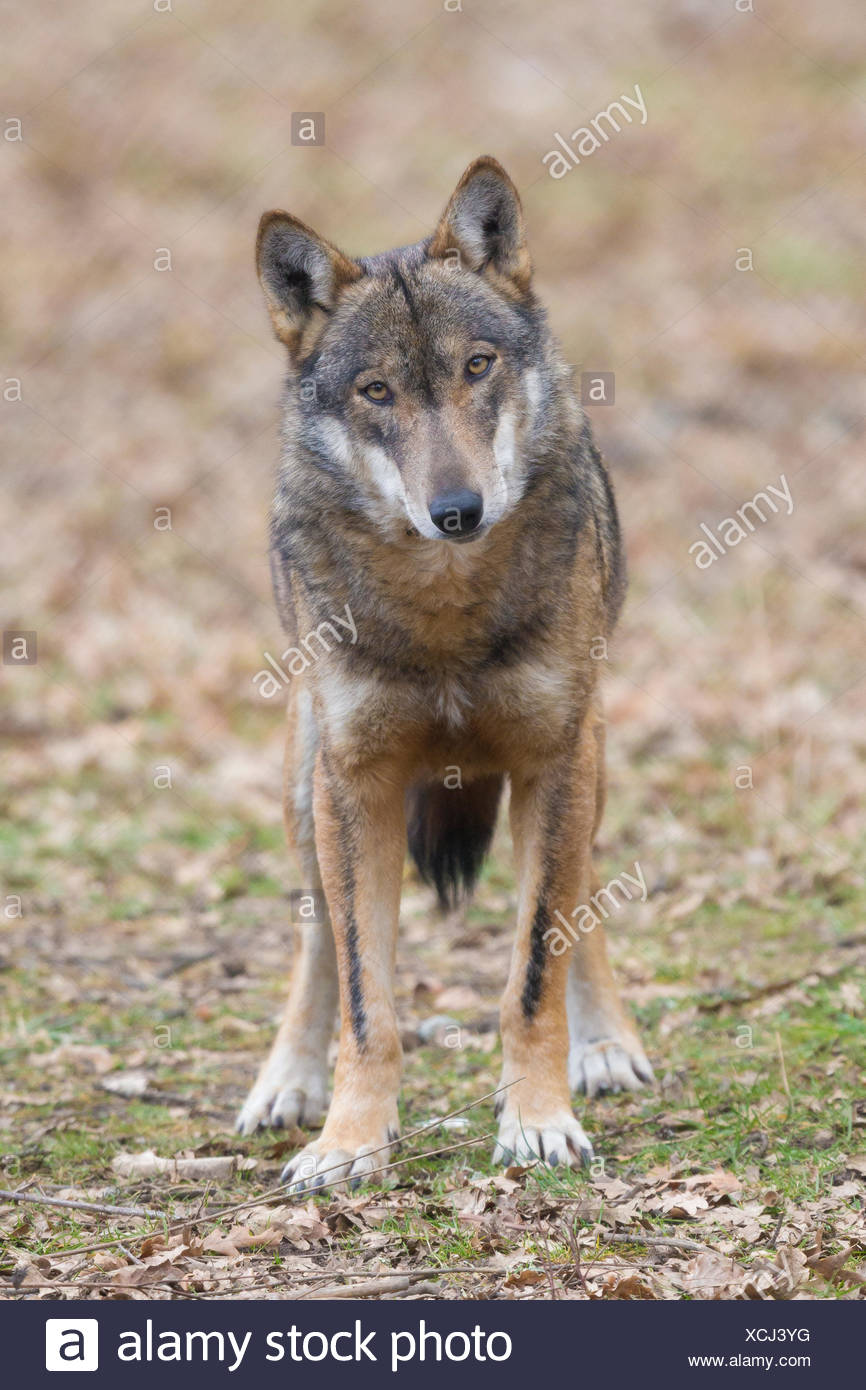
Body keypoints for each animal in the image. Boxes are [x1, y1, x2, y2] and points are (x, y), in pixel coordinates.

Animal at [236, 156, 654, 1188]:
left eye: (477, 366)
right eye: (378, 391)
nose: (456, 509)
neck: (445, 611)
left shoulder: (552, 762)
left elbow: (534, 972)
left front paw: (538, 1122)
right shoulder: (356, 782)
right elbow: (363, 995)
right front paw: (348, 1140)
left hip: (584, 766)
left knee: (582, 898)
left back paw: (605, 1045)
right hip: (305, 787)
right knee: (316, 936)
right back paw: (285, 1084)